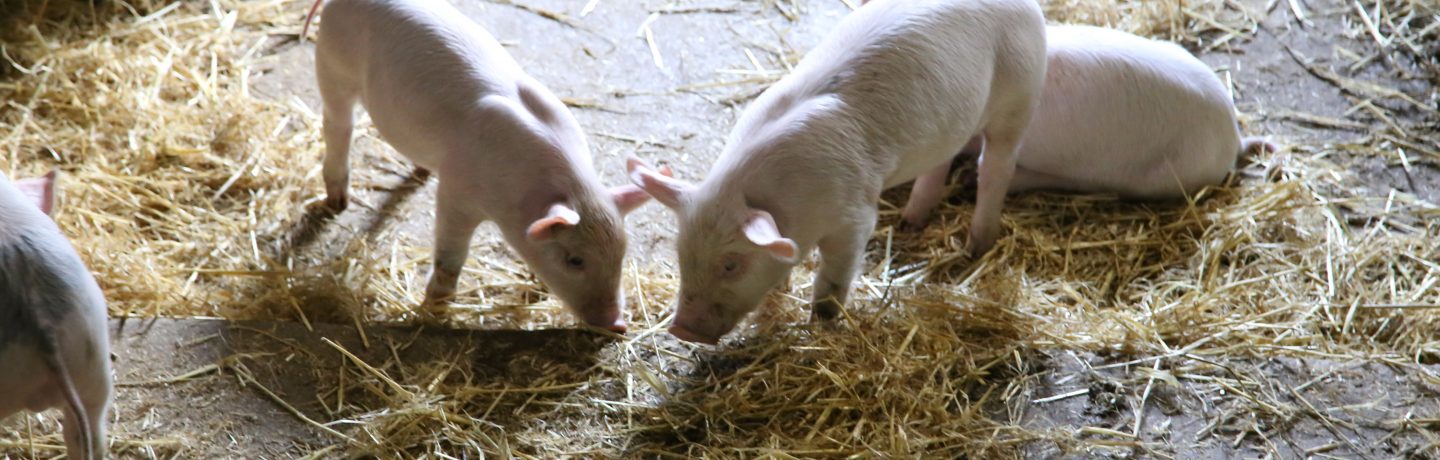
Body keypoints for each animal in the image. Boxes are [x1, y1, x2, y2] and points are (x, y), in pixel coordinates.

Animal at [312, 0, 655, 332]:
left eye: (623, 253)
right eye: (575, 260)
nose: (618, 324)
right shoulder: (457, 193)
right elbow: (450, 258)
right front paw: (433, 311)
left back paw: (421, 172)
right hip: (333, 66)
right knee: (338, 124)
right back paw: (338, 201)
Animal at [628, 0, 1048, 343]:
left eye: (731, 264)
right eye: (682, 254)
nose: (682, 329)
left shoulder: (854, 215)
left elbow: (833, 279)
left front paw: (823, 327)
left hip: (1020, 94)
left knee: (996, 165)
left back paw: (977, 247)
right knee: (940, 161)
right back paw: (911, 222)